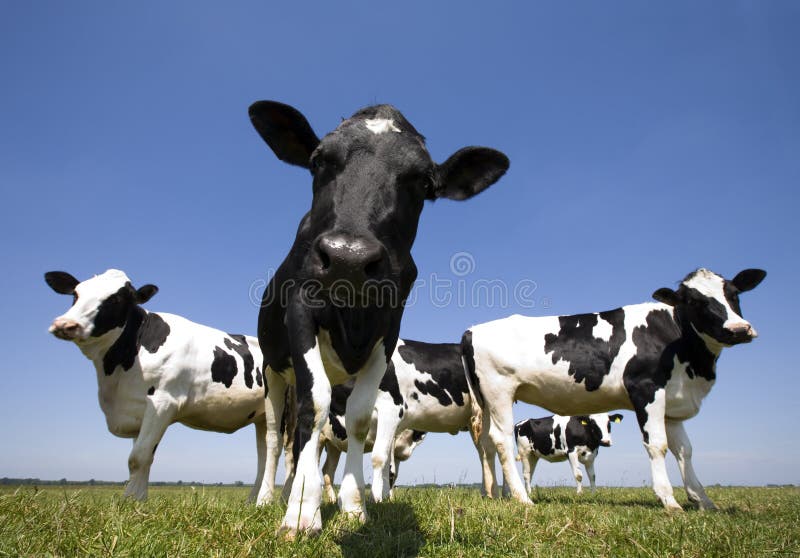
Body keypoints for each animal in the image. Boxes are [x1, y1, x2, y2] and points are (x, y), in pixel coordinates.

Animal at [44, 269, 269, 501]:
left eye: (116, 299)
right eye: (76, 294)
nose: (65, 324)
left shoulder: (163, 403)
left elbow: (138, 457)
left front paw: (131, 501)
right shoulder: (137, 411)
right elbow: (142, 458)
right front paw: (137, 500)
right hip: (261, 418)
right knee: (264, 458)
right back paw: (252, 500)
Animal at [248, 100, 509, 536]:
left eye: (423, 182)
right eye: (318, 160)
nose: (348, 258)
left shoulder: (388, 331)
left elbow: (355, 418)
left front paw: (354, 506)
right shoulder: (300, 311)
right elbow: (314, 407)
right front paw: (302, 512)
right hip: (273, 368)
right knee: (274, 434)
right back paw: (269, 497)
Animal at [462, 267, 766, 511]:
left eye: (734, 293)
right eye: (694, 301)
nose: (739, 329)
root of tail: (473, 329)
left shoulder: (672, 403)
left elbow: (685, 451)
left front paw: (702, 500)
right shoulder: (646, 390)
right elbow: (658, 445)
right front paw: (669, 501)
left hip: (487, 401)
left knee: (486, 443)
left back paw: (498, 495)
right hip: (500, 391)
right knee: (501, 440)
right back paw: (522, 498)